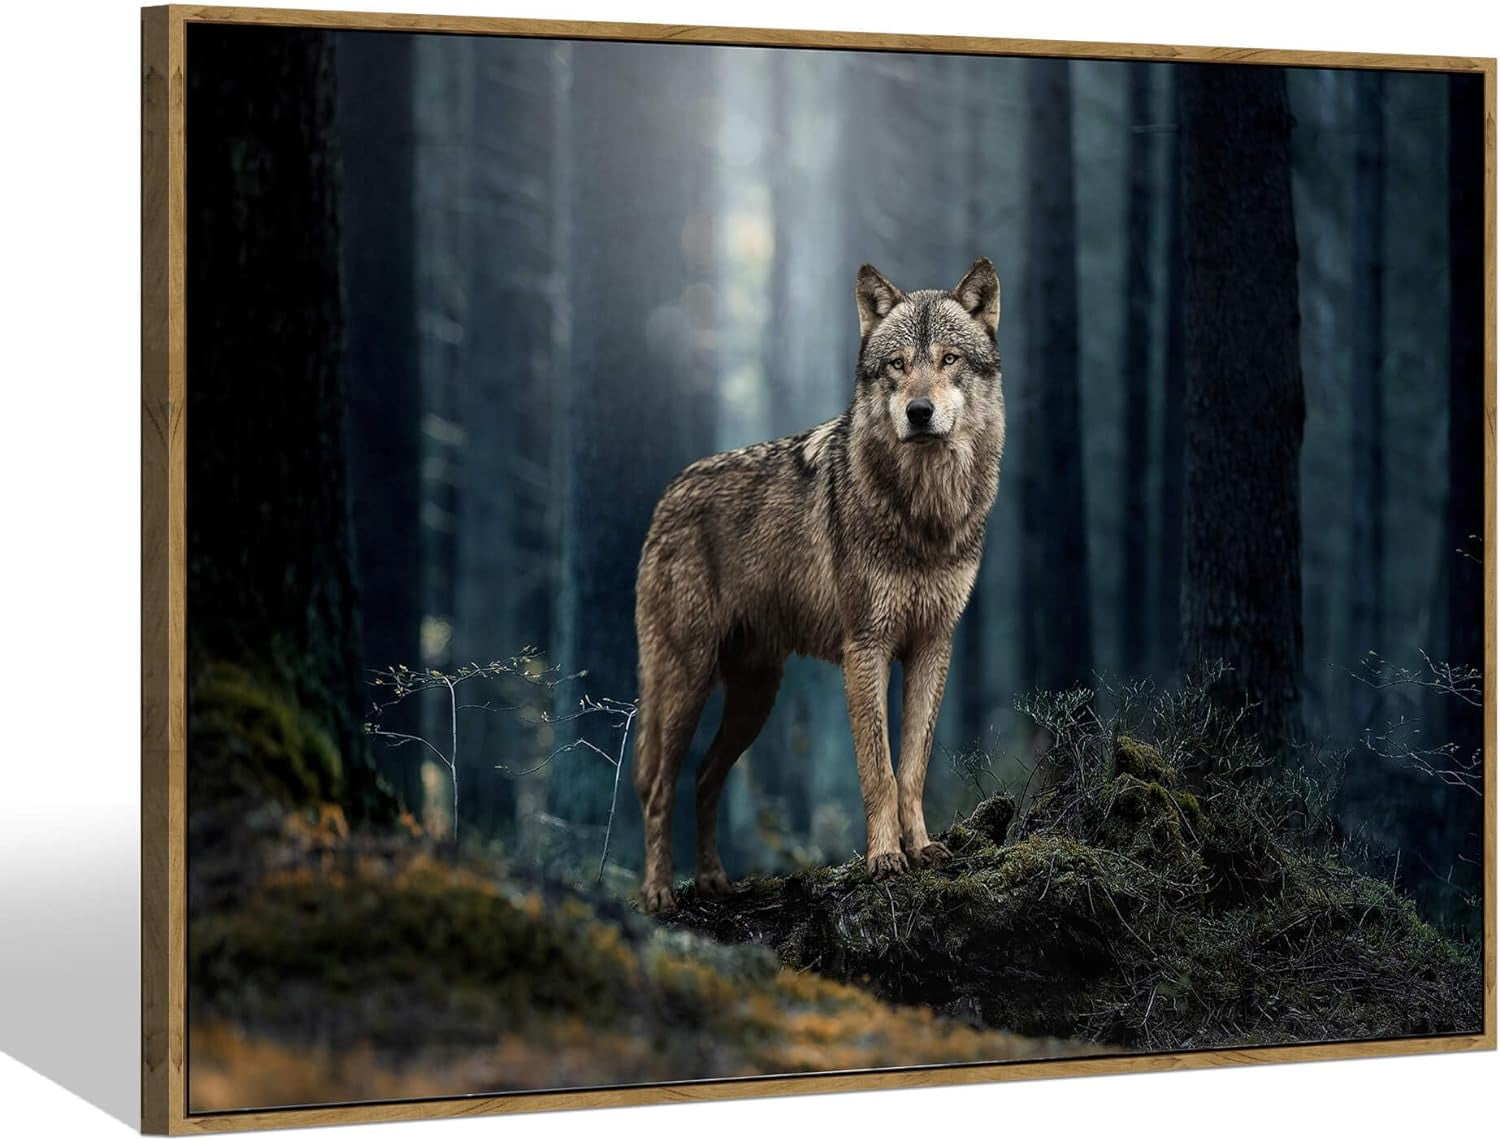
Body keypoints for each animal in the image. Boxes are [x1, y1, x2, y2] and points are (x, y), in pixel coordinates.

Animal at [632, 258, 1005, 915]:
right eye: (897, 365)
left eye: (949, 359)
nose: (919, 412)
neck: (924, 515)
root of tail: (669, 494)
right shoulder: (866, 649)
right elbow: (878, 769)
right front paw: (884, 859)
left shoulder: (933, 647)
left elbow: (912, 766)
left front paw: (921, 849)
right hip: (687, 682)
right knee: (659, 786)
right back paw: (658, 893)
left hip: (755, 696)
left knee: (705, 777)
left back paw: (713, 880)